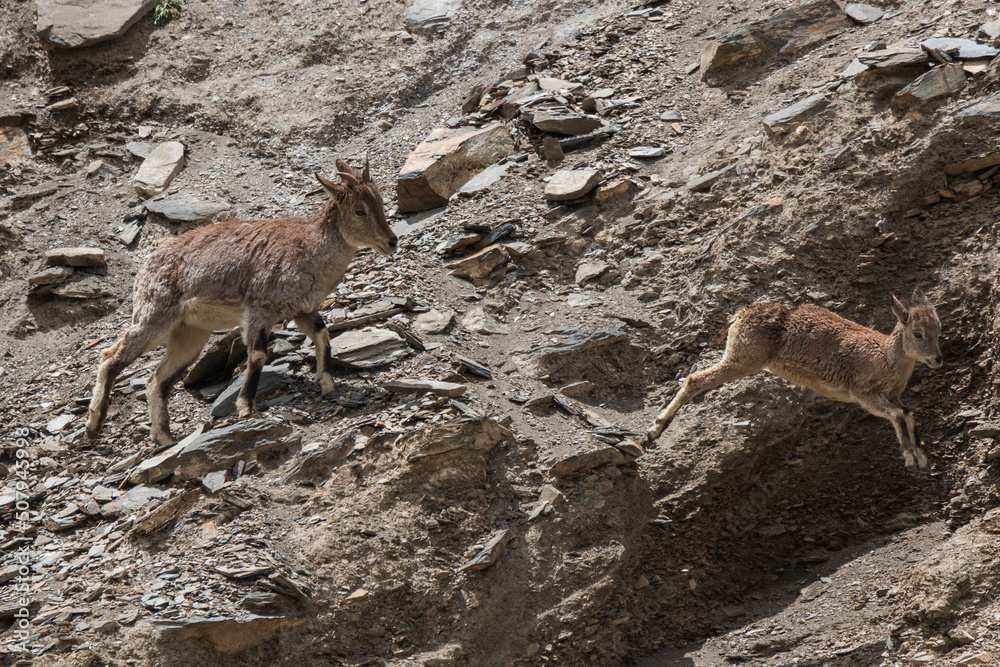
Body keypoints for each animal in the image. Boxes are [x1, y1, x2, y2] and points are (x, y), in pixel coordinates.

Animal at [86, 159, 397, 445]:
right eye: (360, 210)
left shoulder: (302, 309)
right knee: (110, 357)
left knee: (156, 380)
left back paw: (164, 437)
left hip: (190, 333)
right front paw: (246, 407)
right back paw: (93, 426)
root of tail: (146, 266)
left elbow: (323, 336)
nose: (392, 241)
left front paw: (329, 386)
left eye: (381, 203)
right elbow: (258, 354)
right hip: (155, 317)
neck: (308, 248)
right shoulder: (260, 307)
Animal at [644, 288, 942, 472]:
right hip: (743, 359)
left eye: (938, 327)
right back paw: (653, 431)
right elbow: (896, 415)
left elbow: (908, 413)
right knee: (695, 379)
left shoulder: (893, 395)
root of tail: (740, 315)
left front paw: (924, 460)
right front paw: (911, 460)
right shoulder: (863, 392)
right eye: (917, 333)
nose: (937, 359)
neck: (885, 357)